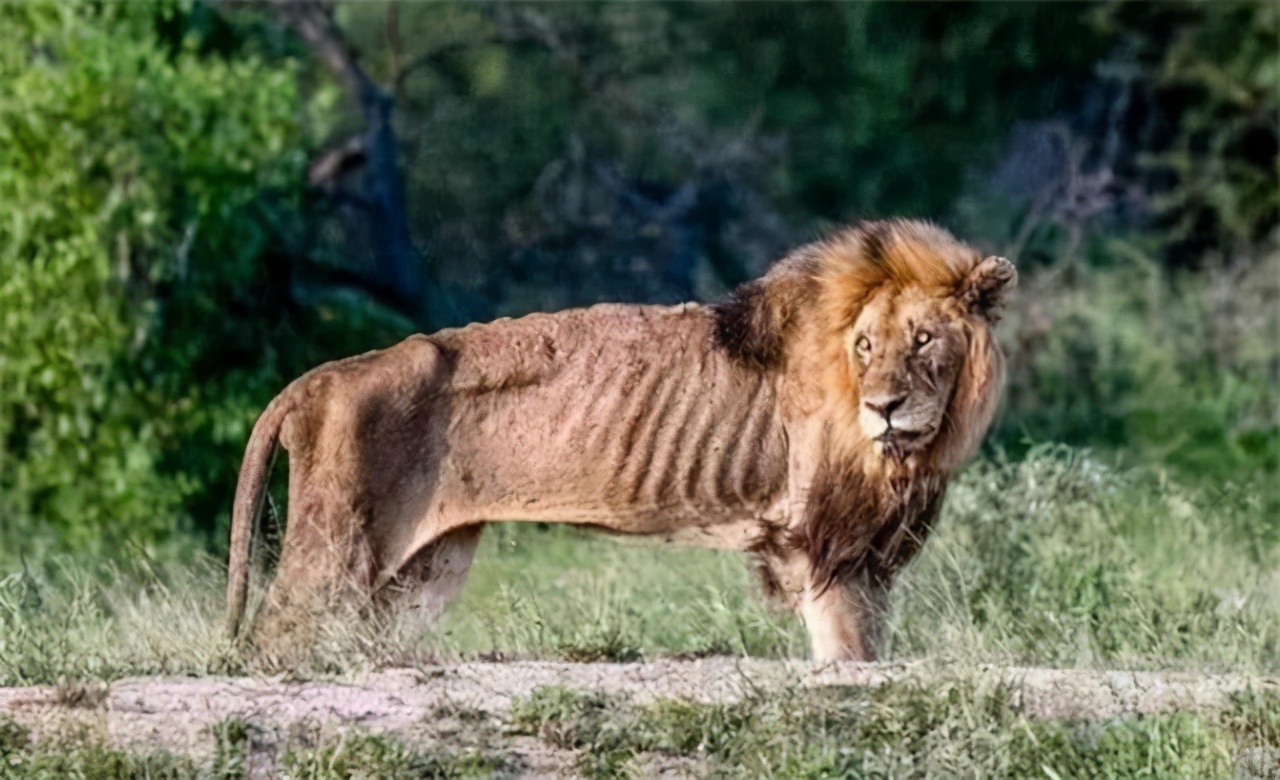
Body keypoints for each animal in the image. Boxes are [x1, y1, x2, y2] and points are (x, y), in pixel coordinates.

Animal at [226, 219, 1015, 661]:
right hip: (335, 553)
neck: (909, 452)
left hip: (419, 572)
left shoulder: (868, 551)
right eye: (865, 345)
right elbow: (848, 653)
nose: (885, 407)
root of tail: (317, 379)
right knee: (273, 641)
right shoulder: (823, 540)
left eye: (922, 340)